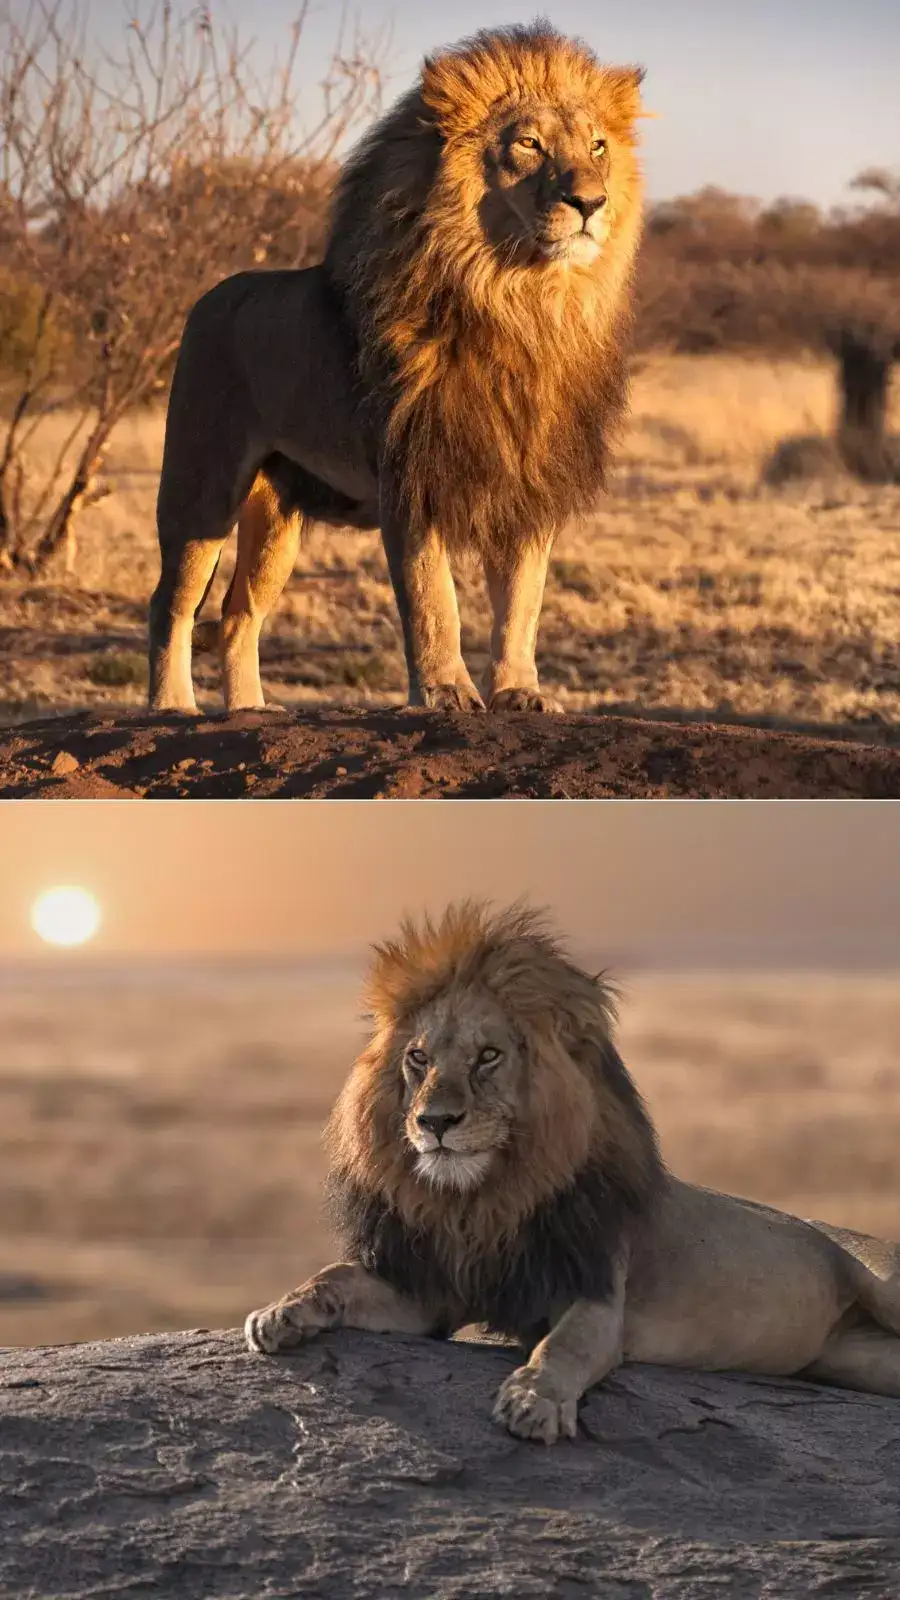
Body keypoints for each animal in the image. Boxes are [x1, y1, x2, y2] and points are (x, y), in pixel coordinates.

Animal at [148, 24, 645, 716]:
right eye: (529, 143)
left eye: (598, 146)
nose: (591, 201)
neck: (522, 304)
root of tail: (208, 296)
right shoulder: (412, 474)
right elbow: (434, 599)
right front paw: (446, 692)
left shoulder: (529, 481)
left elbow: (522, 601)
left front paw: (520, 692)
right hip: (203, 485)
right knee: (172, 601)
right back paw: (173, 706)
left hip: (277, 515)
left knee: (239, 612)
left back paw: (250, 709)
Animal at [245, 901, 900, 1445]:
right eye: (419, 1058)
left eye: (488, 1057)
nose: (435, 1122)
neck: (483, 1201)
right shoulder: (434, 1294)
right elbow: (335, 1277)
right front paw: (281, 1312)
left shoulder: (596, 1295)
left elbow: (561, 1348)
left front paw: (532, 1402)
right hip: (854, 1359)